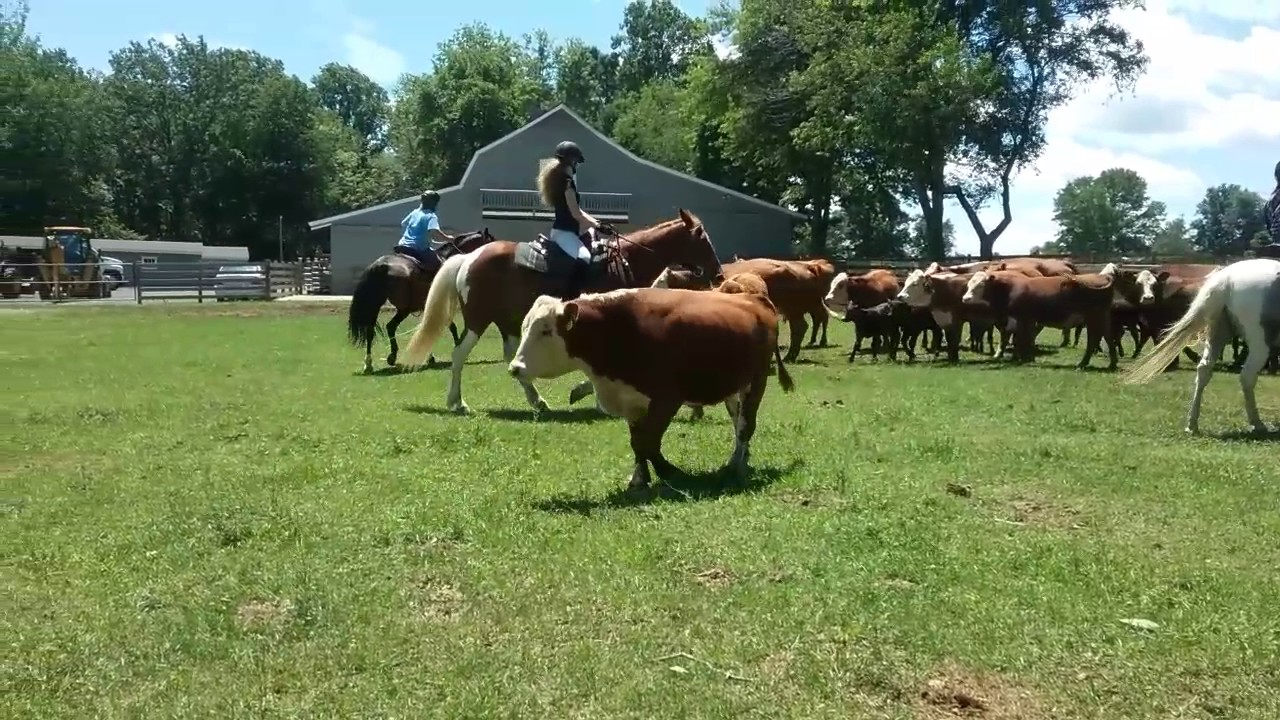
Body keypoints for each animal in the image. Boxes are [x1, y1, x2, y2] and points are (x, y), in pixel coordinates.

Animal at [508, 288, 796, 490]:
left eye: (546, 331)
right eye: (524, 328)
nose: (515, 368)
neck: (614, 330)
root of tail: (754, 297)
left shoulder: (666, 399)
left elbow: (648, 441)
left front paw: (669, 472)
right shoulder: (630, 401)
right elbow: (637, 442)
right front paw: (640, 477)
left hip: (756, 382)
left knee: (746, 425)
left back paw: (736, 466)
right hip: (733, 387)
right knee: (738, 422)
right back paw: (742, 457)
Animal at [960, 268, 1120, 370]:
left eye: (980, 285)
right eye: (969, 284)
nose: (965, 298)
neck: (1010, 288)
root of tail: (1101, 276)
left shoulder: (1023, 318)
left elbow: (1021, 338)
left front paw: (1023, 358)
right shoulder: (1026, 319)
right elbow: (1024, 338)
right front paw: (1026, 357)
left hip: (1095, 316)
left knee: (1094, 338)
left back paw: (1083, 364)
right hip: (1101, 317)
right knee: (1107, 336)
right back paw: (1111, 363)